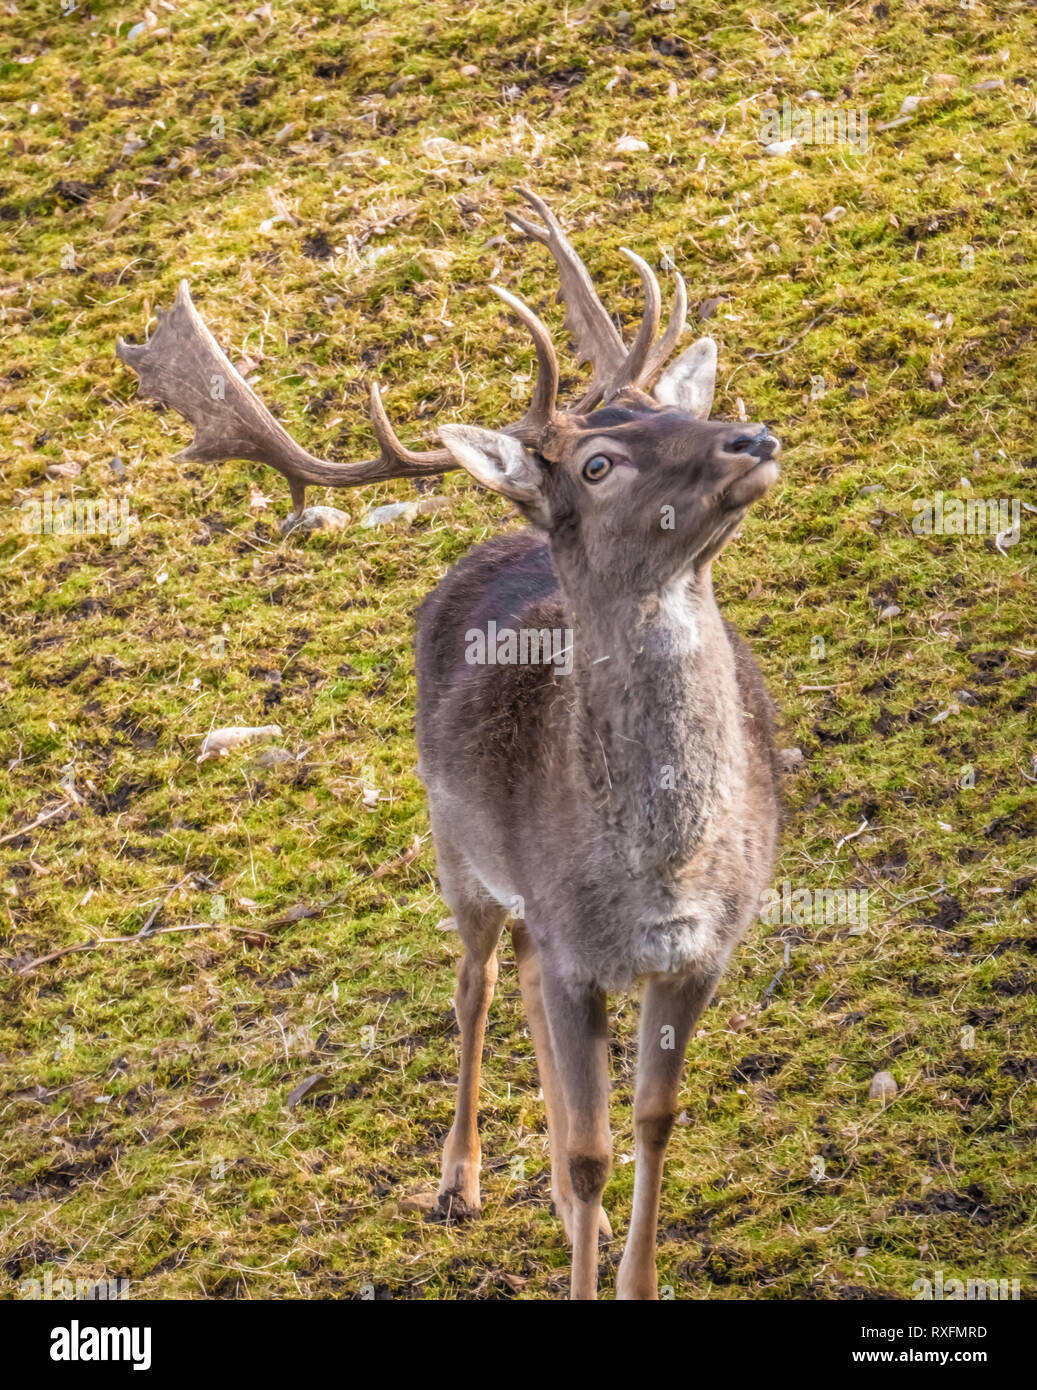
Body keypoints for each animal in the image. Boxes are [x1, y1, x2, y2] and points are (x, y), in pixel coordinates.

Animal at [116, 189, 783, 1300]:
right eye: (598, 462)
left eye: (665, 404)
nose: (751, 437)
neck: (659, 867)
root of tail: (499, 535)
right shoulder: (571, 940)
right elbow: (596, 1146)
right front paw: (574, 1236)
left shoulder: (702, 949)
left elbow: (651, 1122)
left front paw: (631, 1268)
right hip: (453, 846)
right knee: (475, 983)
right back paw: (458, 1179)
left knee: (517, 988)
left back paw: (541, 1191)